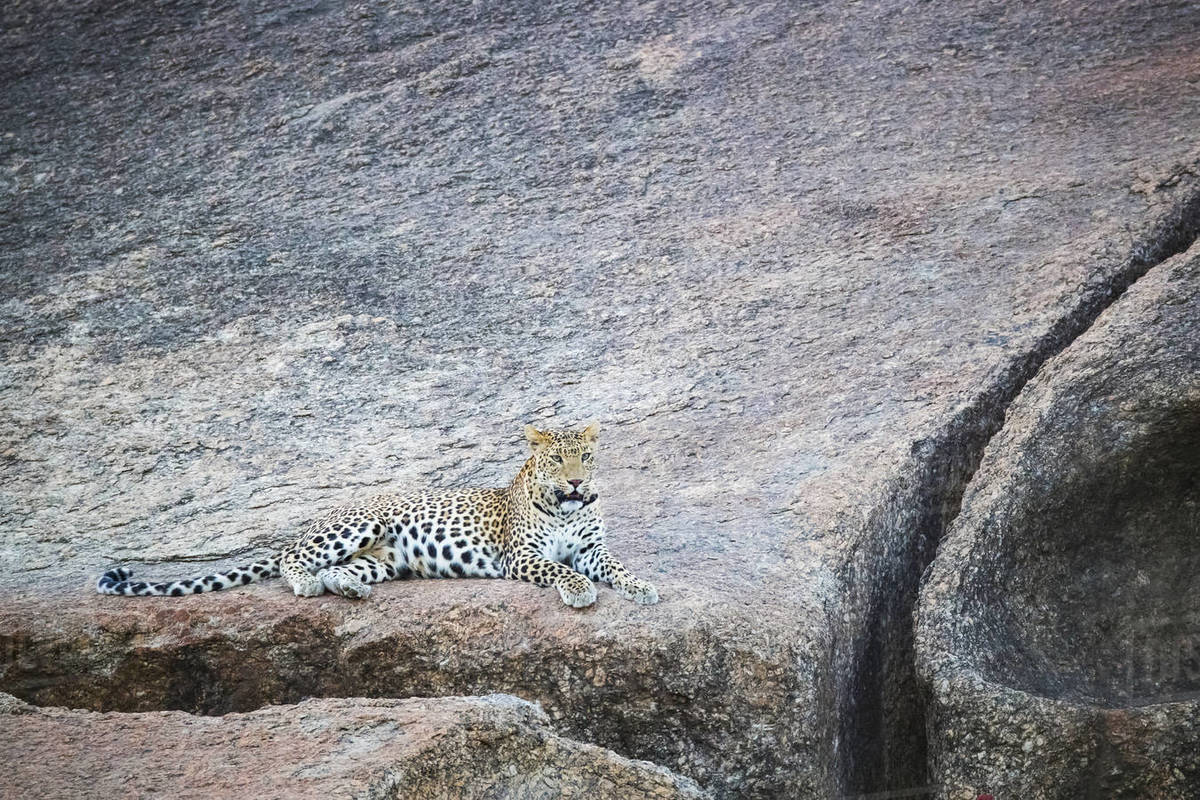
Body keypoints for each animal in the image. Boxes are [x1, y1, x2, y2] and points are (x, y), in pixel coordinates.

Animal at [96, 423, 658, 608]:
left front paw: (642, 586)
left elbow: (615, 566)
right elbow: (559, 569)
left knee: (340, 571)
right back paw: (306, 583)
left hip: (383, 559)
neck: (565, 509)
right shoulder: (522, 556)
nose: (577, 483)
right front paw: (580, 591)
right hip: (359, 525)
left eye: (585, 457)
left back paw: (348, 589)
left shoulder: (593, 548)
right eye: (557, 459)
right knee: (296, 560)